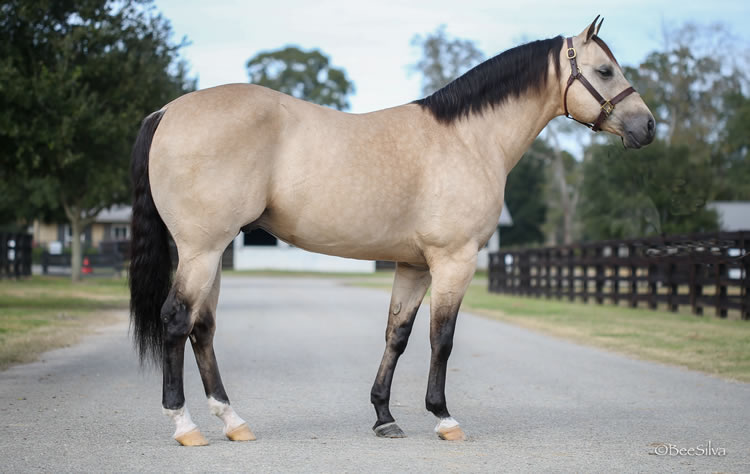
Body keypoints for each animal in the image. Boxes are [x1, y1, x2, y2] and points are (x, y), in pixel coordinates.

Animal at [129, 16, 655, 446]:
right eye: (605, 71)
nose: (647, 127)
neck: (468, 139)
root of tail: (167, 111)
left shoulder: (414, 265)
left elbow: (396, 336)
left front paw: (384, 417)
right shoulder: (454, 260)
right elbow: (442, 338)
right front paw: (443, 417)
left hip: (210, 253)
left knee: (202, 328)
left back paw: (233, 421)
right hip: (201, 250)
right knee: (177, 320)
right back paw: (186, 426)